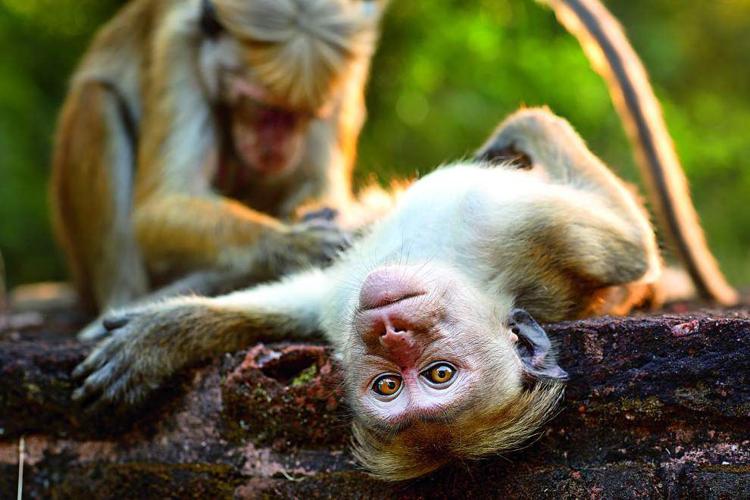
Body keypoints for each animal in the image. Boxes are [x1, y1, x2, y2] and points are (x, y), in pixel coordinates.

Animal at [50, 0, 391, 327]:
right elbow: (159, 205)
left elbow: (320, 182)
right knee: (96, 100)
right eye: (263, 108)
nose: (278, 148)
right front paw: (289, 245)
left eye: (305, 114)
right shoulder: (178, 46)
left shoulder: (349, 65)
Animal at [73, 107, 662, 480]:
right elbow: (295, 299)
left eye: (438, 374)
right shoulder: (342, 306)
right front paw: (161, 338)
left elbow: (632, 250)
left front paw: (529, 123)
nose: (391, 330)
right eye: (387, 386)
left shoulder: (531, 231)